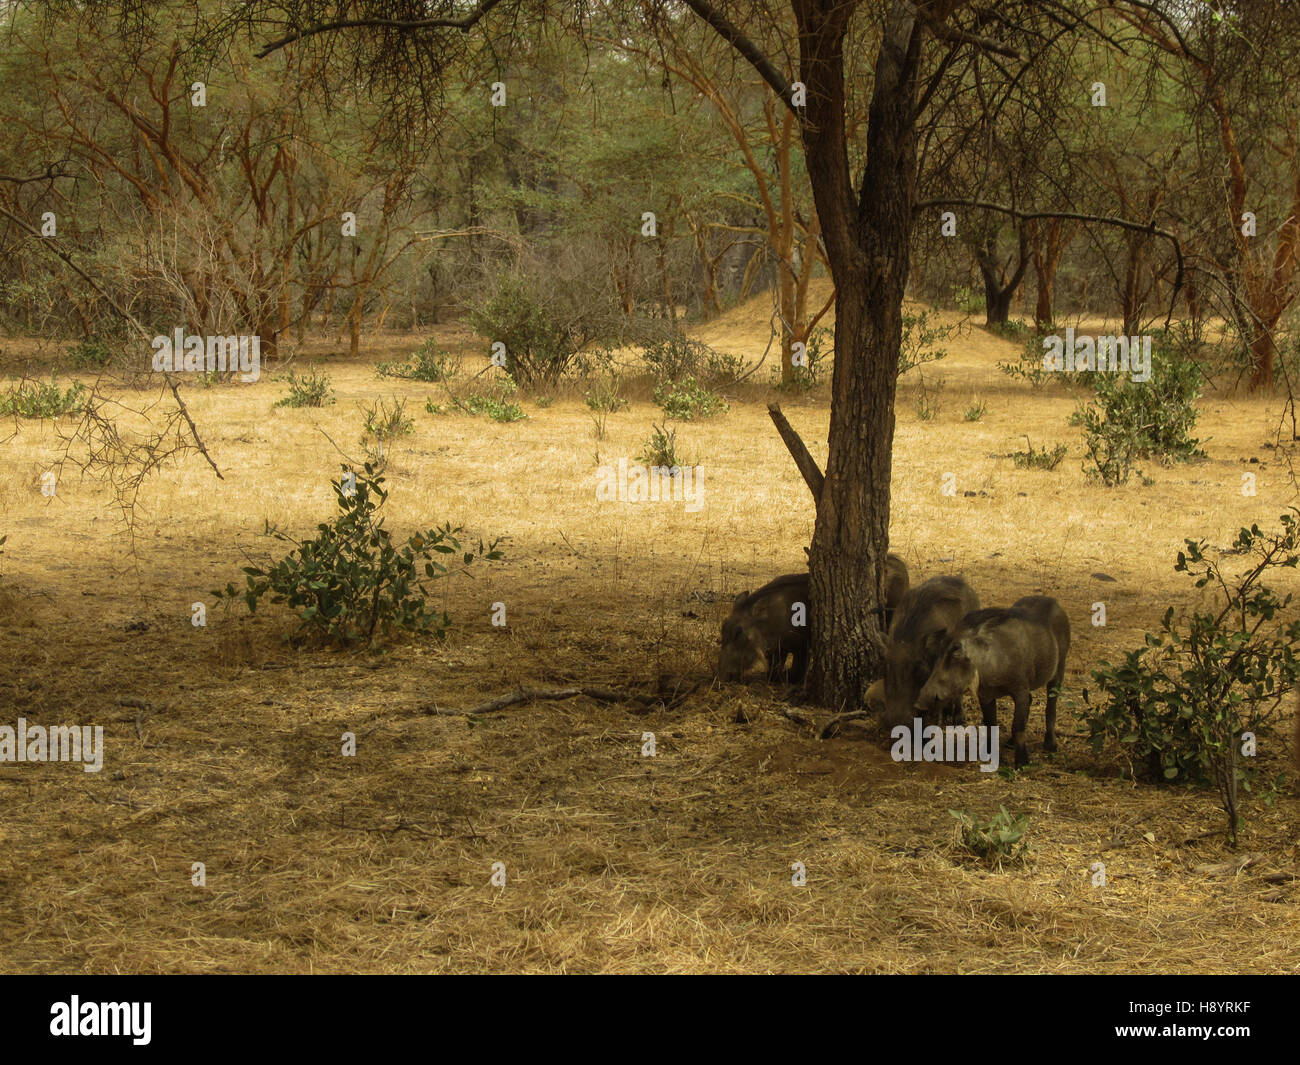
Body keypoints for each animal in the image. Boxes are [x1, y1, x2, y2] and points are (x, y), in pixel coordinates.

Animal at [913, 595, 1070, 768]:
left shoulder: (1020, 689)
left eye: (956, 651)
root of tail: (1054, 602)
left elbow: (1018, 726)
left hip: (1060, 667)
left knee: (1051, 705)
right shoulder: (986, 695)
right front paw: (987, 754)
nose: (919, 704)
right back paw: (1010, 743)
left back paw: (1050, 746)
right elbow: (990, 723)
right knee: (1031, 701)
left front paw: (1022, 763)